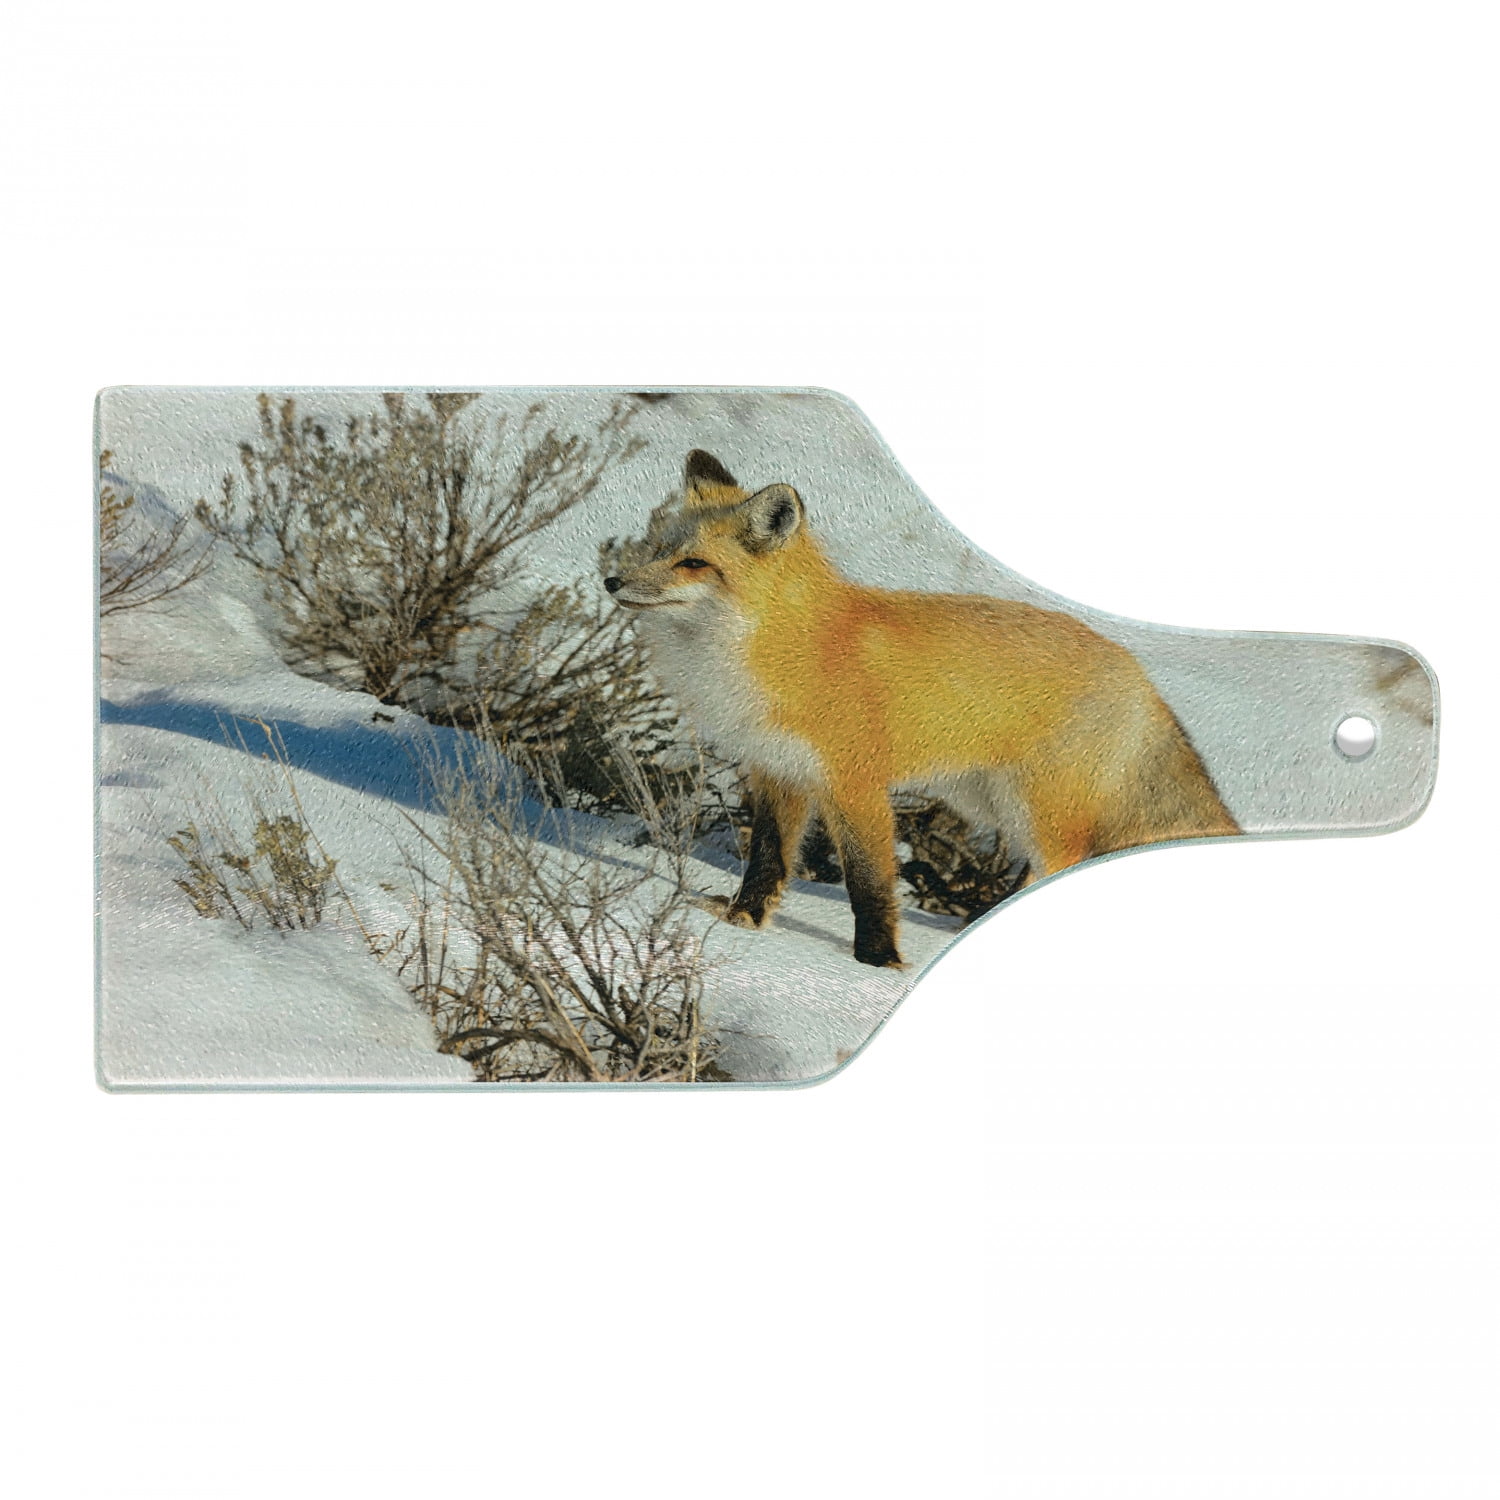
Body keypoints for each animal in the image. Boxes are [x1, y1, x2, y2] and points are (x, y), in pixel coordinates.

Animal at [604, 450, 1240, 968]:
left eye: (693, 564)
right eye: (656, 549)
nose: (611, 580)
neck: (783, 648)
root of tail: (1140, 672)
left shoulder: (855, 784)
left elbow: (869, 885)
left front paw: (875, 964)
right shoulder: (778, 771)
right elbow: (766, 860)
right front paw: (744, 920)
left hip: (1038, 814)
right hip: (988, 803)